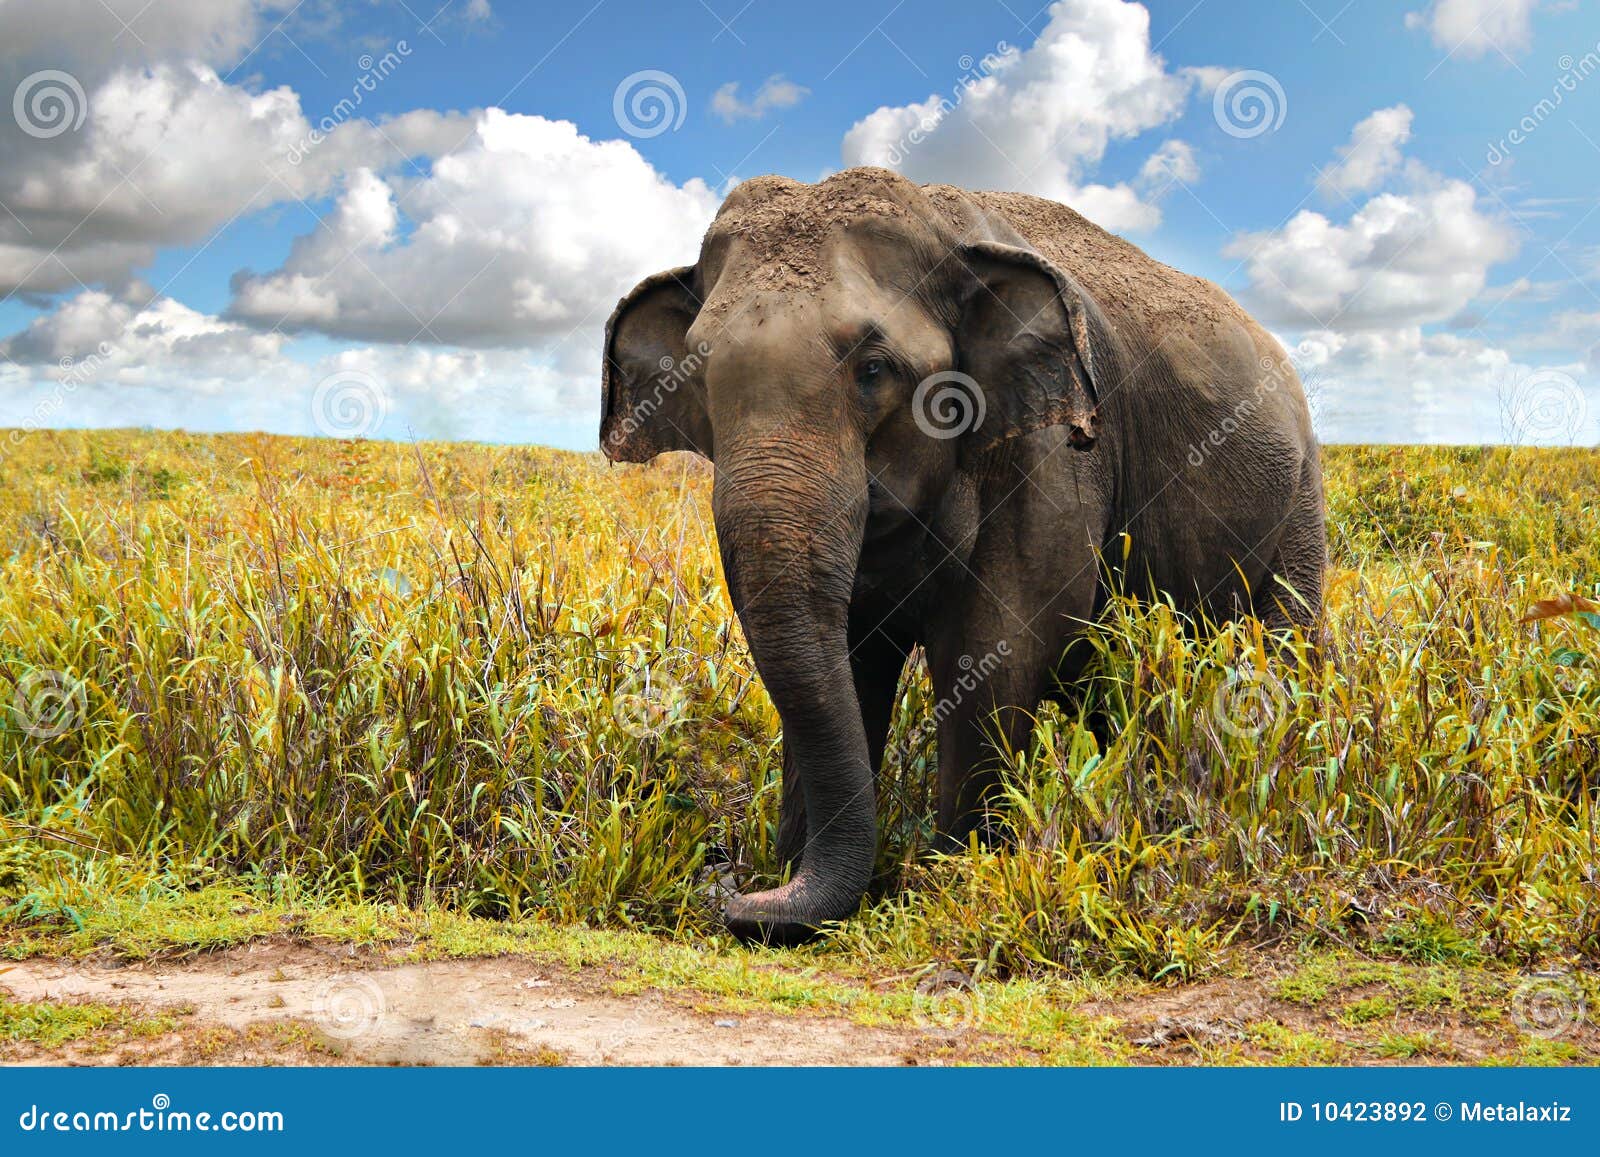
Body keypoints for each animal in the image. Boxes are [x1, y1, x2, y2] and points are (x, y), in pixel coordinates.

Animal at [600, 167, 1325, 944]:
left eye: (875, 369)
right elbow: (850, 659)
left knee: (1282, 652)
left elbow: (995, 652)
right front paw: (798, 878)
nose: (738, 903)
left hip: (1301, 502)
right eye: (696, 380)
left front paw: (948, 879)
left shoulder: (1052, 451)